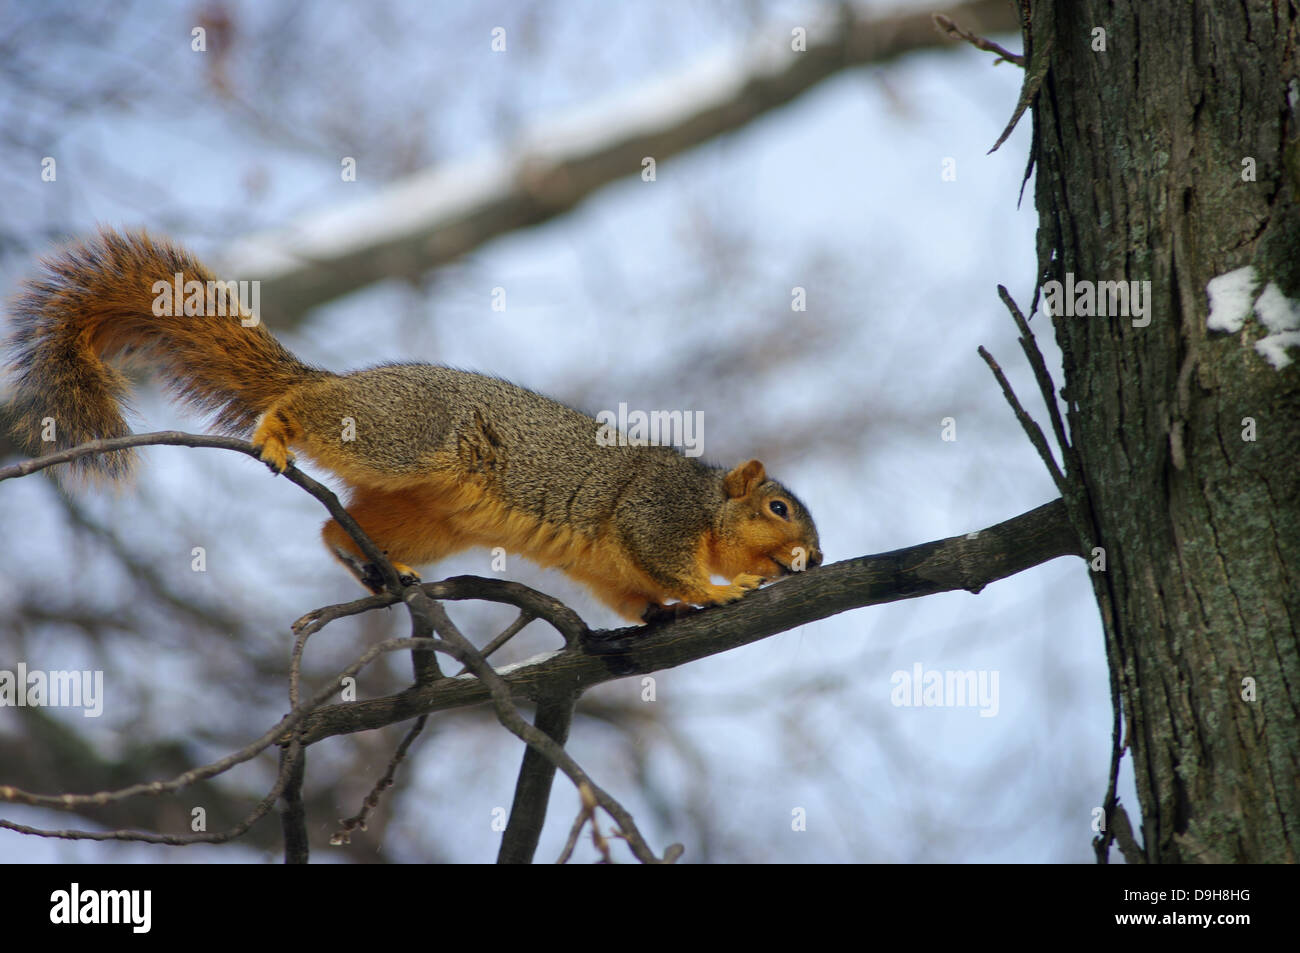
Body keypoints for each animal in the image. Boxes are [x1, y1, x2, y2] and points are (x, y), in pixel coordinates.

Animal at [5, 228, 822, 622]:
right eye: (778, 506)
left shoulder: (612, 570)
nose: (814, 556)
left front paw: (683, 602)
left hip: (427, 520)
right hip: (399, 441)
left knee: (333, 528)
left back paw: (379, 568)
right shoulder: (655, 511)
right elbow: (668, 559)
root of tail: (339, 380)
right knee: (304, 414)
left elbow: (636, 597)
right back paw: (276, 431)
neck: (710, 505)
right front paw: (722, 590)